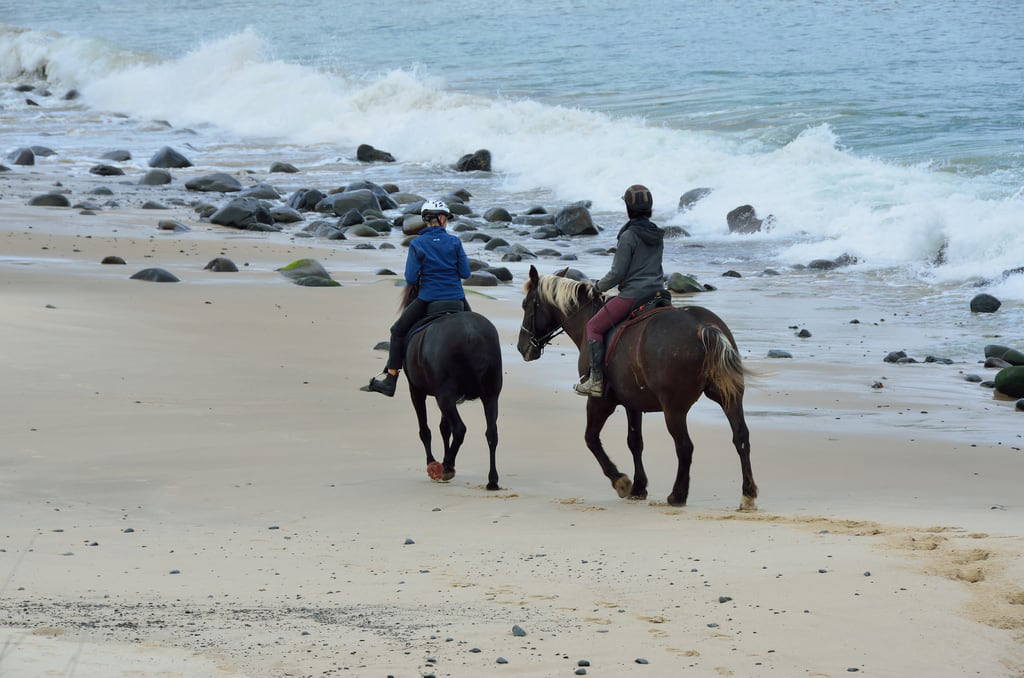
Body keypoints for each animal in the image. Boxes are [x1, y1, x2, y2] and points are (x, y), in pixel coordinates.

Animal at [399, 286, 503, 490]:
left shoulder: (417, 390)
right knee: (491, 433)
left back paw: (446, 465)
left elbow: (426, 430)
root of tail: (471, 334)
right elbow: (443, 428)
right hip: (490, 395)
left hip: (444, 397)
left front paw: (432, 463)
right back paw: (492, 480)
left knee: (460, 429)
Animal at [517, 266, 757, 510]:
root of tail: (702, 326)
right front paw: (639, 487)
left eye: (526, 304)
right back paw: (747, 495)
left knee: (685, 446)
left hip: (674, 409)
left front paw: (621, 481)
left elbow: (591, 438)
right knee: (741, 438)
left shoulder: (600, 401)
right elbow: (635, 442)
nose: (521, 346)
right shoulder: (633, 403)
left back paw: (678, 495)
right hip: (729, 398)